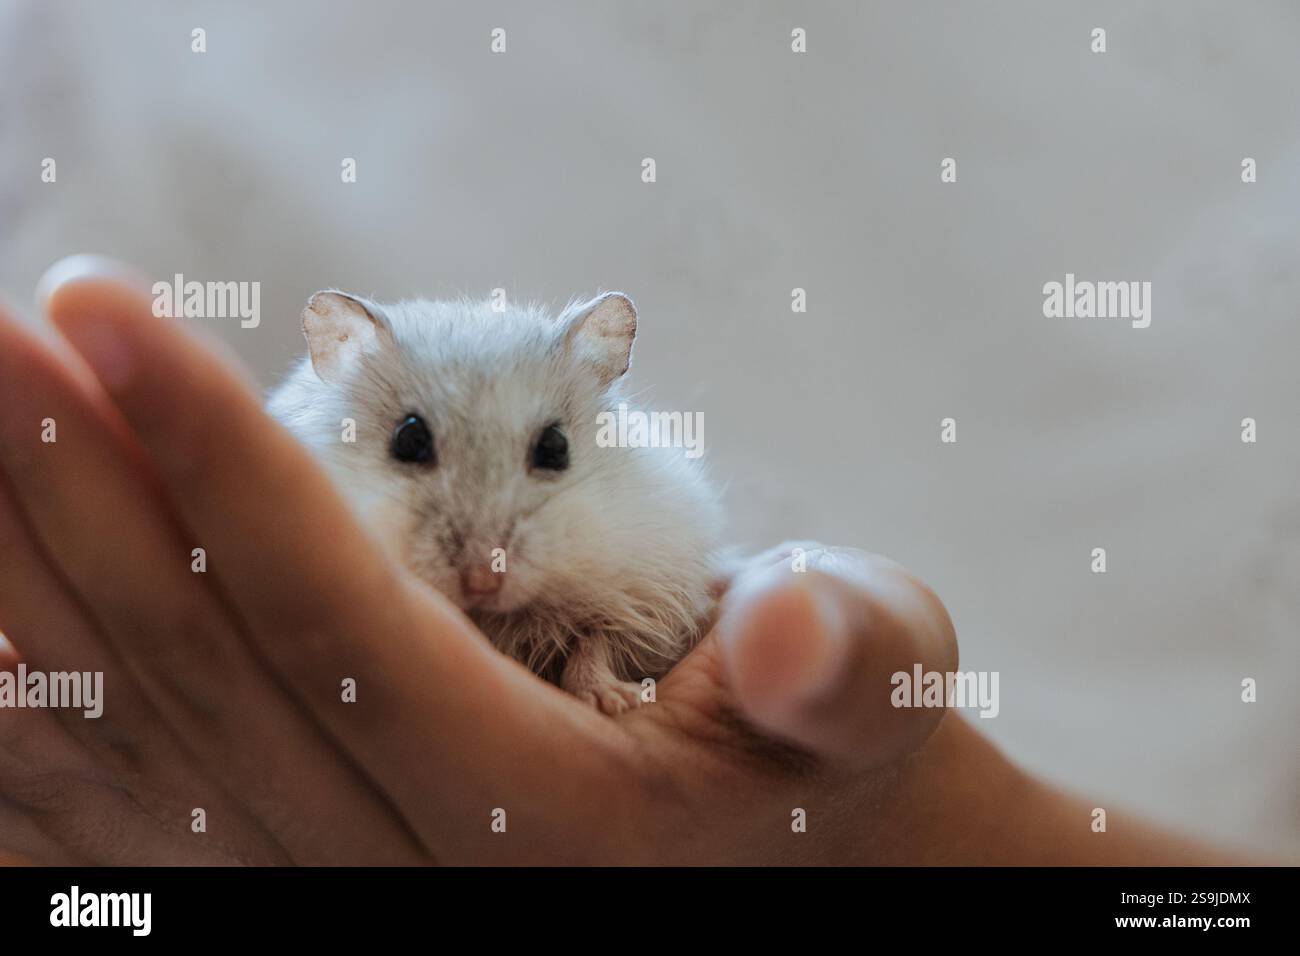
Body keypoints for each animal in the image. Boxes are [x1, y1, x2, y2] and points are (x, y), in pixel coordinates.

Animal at [268, 290, 722, 714]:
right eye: (408, 439)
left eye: (555, 446)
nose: (482, 582)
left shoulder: (647, 589)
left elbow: (595, 644)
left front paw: (612, 700)